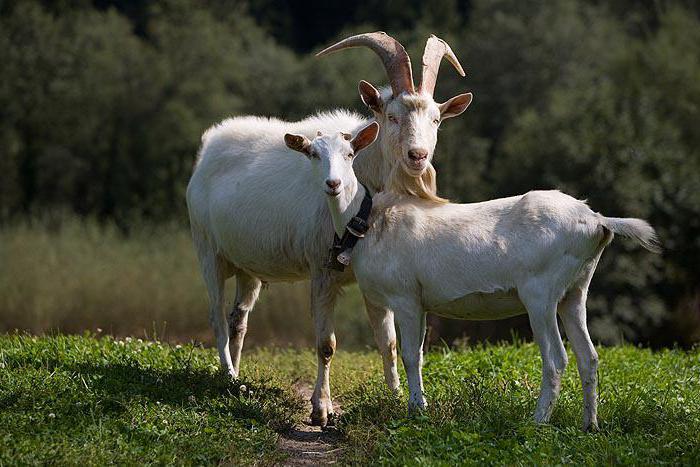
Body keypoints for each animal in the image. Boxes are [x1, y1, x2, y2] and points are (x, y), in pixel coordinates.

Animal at [183, 32, 474, 428]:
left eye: (436, 119)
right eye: (392, 116)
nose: (417, 156)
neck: (362, 182)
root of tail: (208, 146)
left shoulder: (372, 279)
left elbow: (388, 341)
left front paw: (396, 396)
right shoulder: (322, 271)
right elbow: (326, 344)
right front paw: (321, 409)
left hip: (248, 267)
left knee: (237, 318)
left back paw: (237, 379)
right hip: (207, 249)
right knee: (215, 314)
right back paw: (227, 373)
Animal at [286, 128, 660, 432]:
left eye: (350, 154)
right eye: (313, 154)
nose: (332, 184)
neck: (369, 223)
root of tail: (597, 221)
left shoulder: (406, 296)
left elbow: (409, 355)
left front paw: (416, 412)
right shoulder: (422, 301)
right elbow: (418, 353)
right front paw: (419, 405)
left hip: (540, 291)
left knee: (556, 359)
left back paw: (537, 422)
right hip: (576, 289)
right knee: (589, 357)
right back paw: (590, 425)